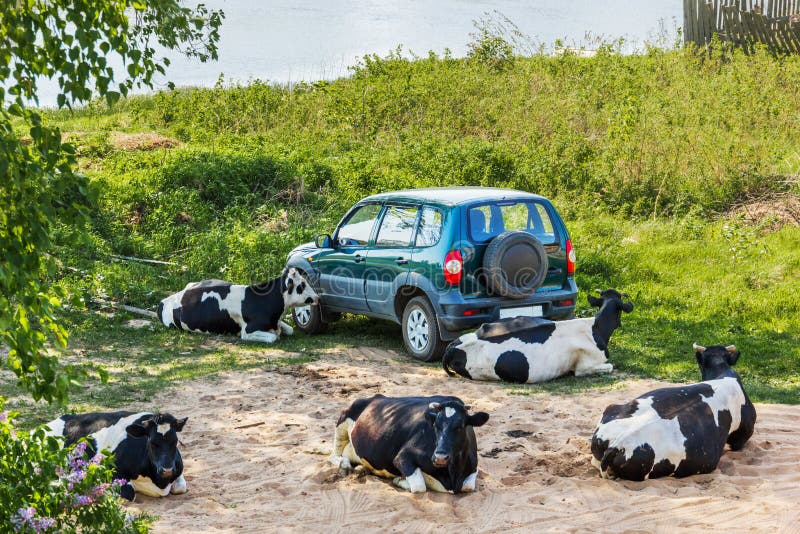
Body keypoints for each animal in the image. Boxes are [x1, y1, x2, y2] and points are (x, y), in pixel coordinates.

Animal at [45, 411, 188, 501]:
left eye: (175, 441)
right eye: (152, 442)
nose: (167, 470)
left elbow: (181, 488)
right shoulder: (111, 470)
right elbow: (129, 493)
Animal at [157, 267, 319, 343]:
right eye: (302, 285)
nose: (317, 297)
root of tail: (164, 301)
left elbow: (289, 330)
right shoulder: (247, 332)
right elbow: (274, 337)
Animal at [329, 395, 490, 494]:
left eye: (461, 426)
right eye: (436, 425)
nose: (440, 457)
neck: (452, 475)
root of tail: (376, 397)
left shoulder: (473, 467)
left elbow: (468, 486)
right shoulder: (403, 457)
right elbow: (419, 486)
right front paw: (399, 480)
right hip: (345, 416)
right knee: (335, 455)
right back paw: (345, 465)